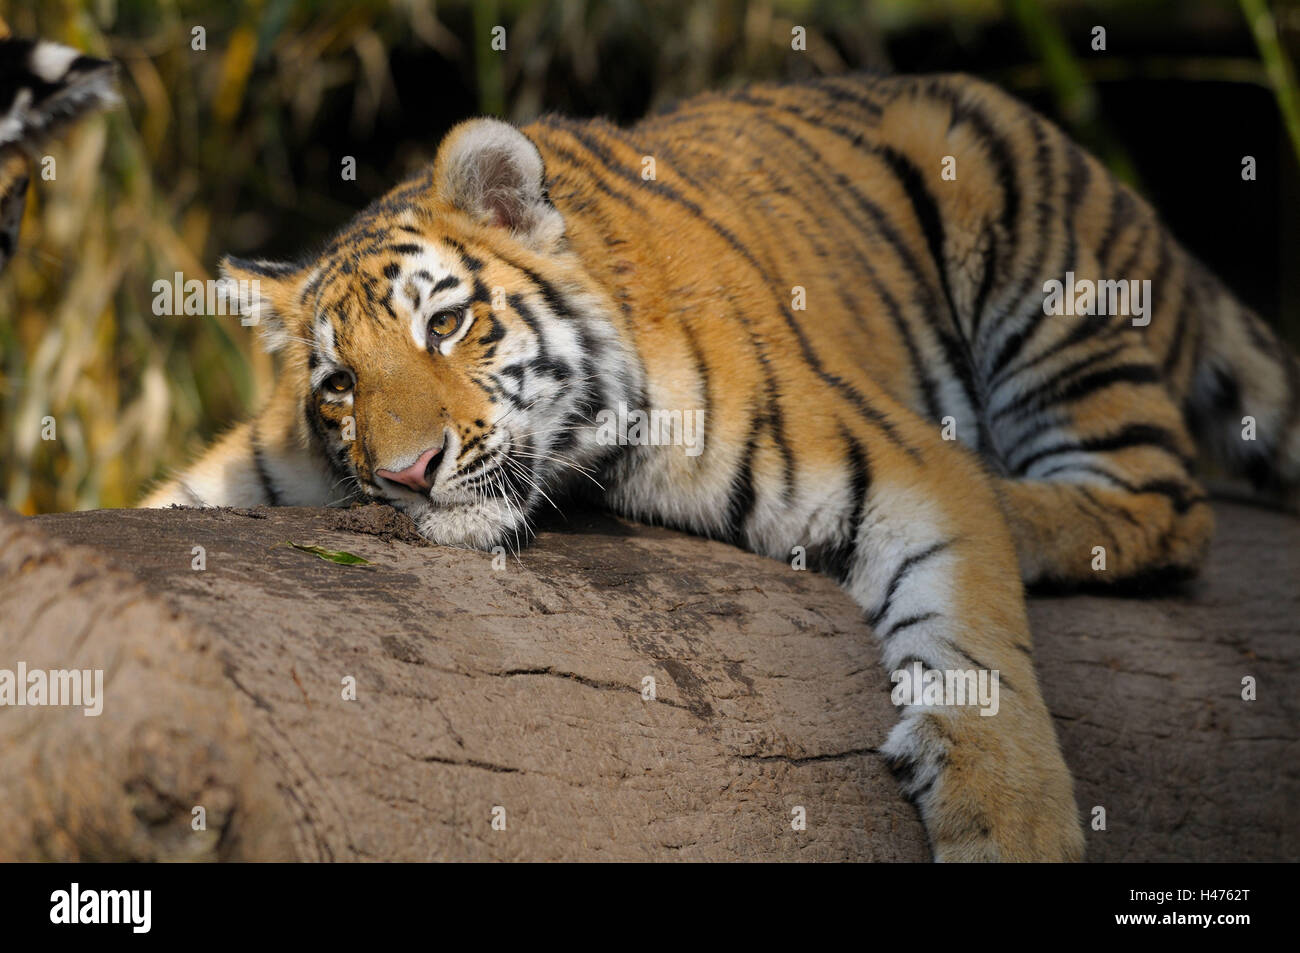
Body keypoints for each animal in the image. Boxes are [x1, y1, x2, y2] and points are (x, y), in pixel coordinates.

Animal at [141, 73, 1300, 862]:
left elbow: (974, 649)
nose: (406, 473)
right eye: (338, 385)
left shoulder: (898, 461)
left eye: (447, 321)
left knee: (1163, 504)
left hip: (1051, 294)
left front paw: (1009, 826)